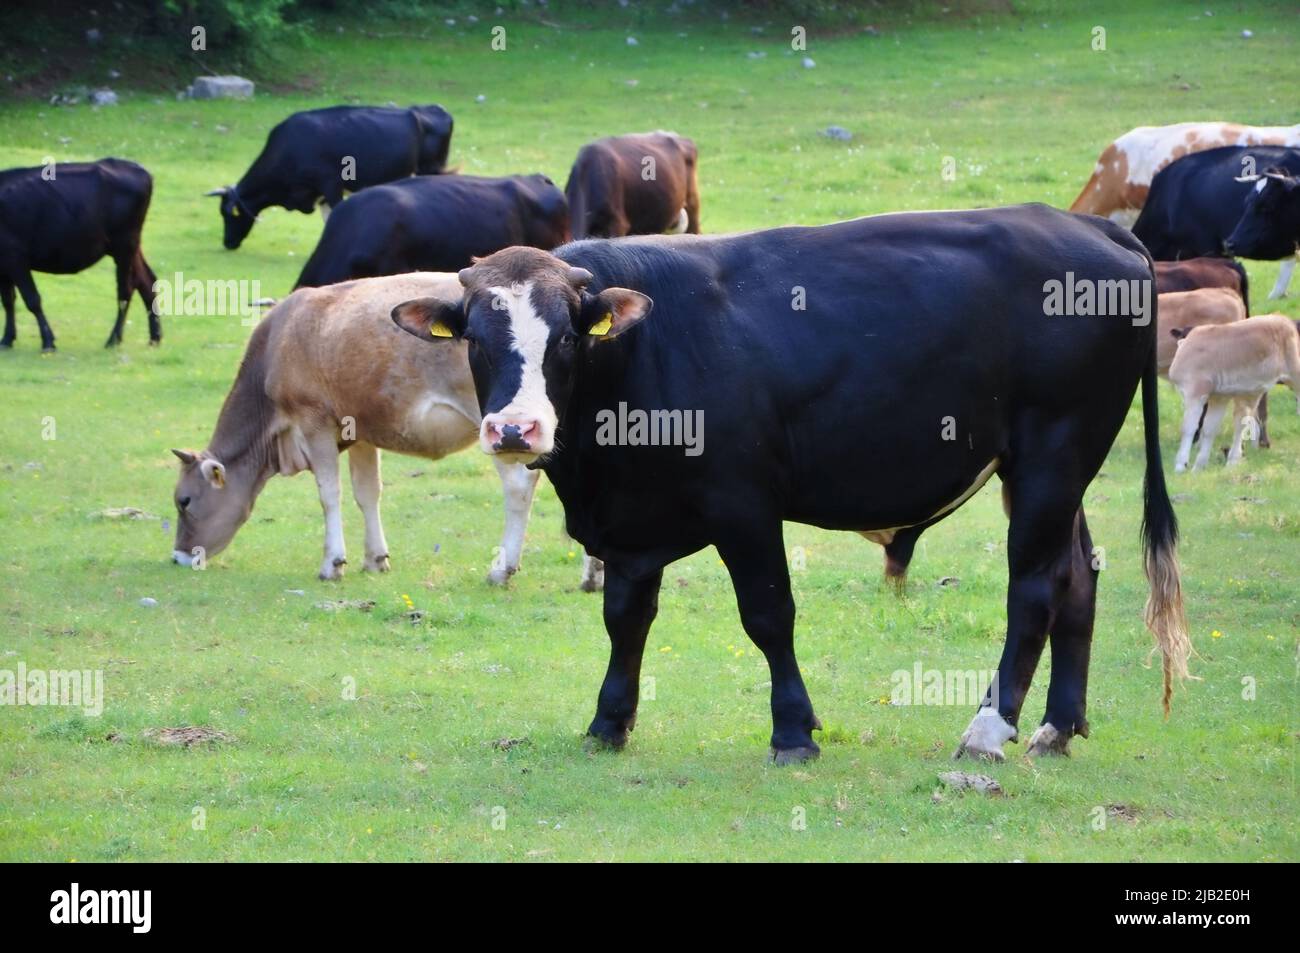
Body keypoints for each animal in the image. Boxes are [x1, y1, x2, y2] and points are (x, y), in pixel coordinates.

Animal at [0, 158, 159, 351]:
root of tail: (139, 168)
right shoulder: (4, 267)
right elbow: (8, 302)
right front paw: (6, 339)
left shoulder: (16, 259)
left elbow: (32, 300)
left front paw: (48, 341)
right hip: (128, 247)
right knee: (147, 282)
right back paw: (155, 338)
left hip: (125, 245)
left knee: (125, 291)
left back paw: (113, 339)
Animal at [169, 272, 594, 589]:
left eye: (184, 501)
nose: (177, 557)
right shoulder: (359, 430)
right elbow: (366, 492)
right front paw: (375, 558)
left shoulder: (313, 420)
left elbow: (329, 494)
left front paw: (332, 562)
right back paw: (594, 573)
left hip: (502, 428)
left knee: (519, 486)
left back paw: (502, 569)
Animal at [206, 104, 454, 250]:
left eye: (228, 215)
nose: (227, 243)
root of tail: (434, 109)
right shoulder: (320, 193)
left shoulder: (331, 184)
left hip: (429, 168)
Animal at [389, 204, 1191, 765]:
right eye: (475, 340)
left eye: (563, 338)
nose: (515, 430)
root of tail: (1091, 228)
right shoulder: (630, 525)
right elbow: (626, 618)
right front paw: (608, 722)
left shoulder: (742, 503)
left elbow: (769, 614)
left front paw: (793, 730)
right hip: (1052, 468)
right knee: (1077, 576)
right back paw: (1058, 725)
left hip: (1054, 452)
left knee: (1033, 587)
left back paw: (990, 728)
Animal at [1169, 315, 1300, 472]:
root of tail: (1283, 319)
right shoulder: (1219, 396)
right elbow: (1209, 429)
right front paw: (1199, 467)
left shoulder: (1194, 393)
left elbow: (1188, 428)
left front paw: (1180, 465)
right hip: (1249, 392)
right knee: (1241, 422)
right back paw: (1233, 460)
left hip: (1295, 374)